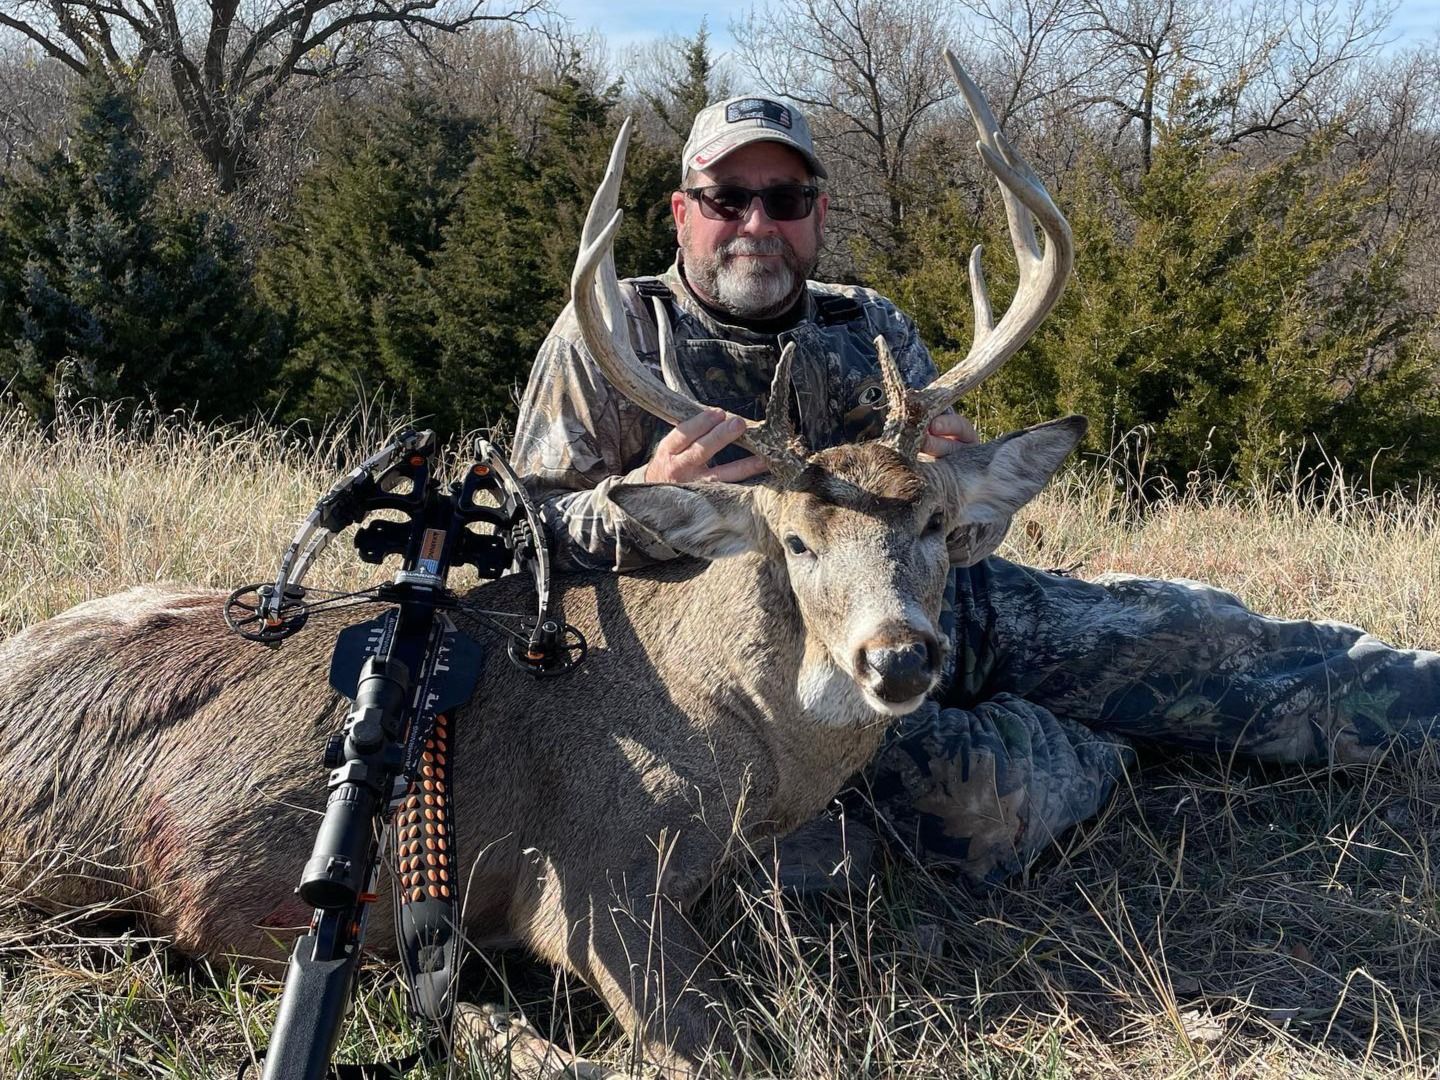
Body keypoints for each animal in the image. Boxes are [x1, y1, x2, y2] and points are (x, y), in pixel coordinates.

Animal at [0, 55, 1079, 1077]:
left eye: (937, 523)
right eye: (797, 540)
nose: (898, 656)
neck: (739, 743)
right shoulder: (587, 874)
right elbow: (712, 1048)